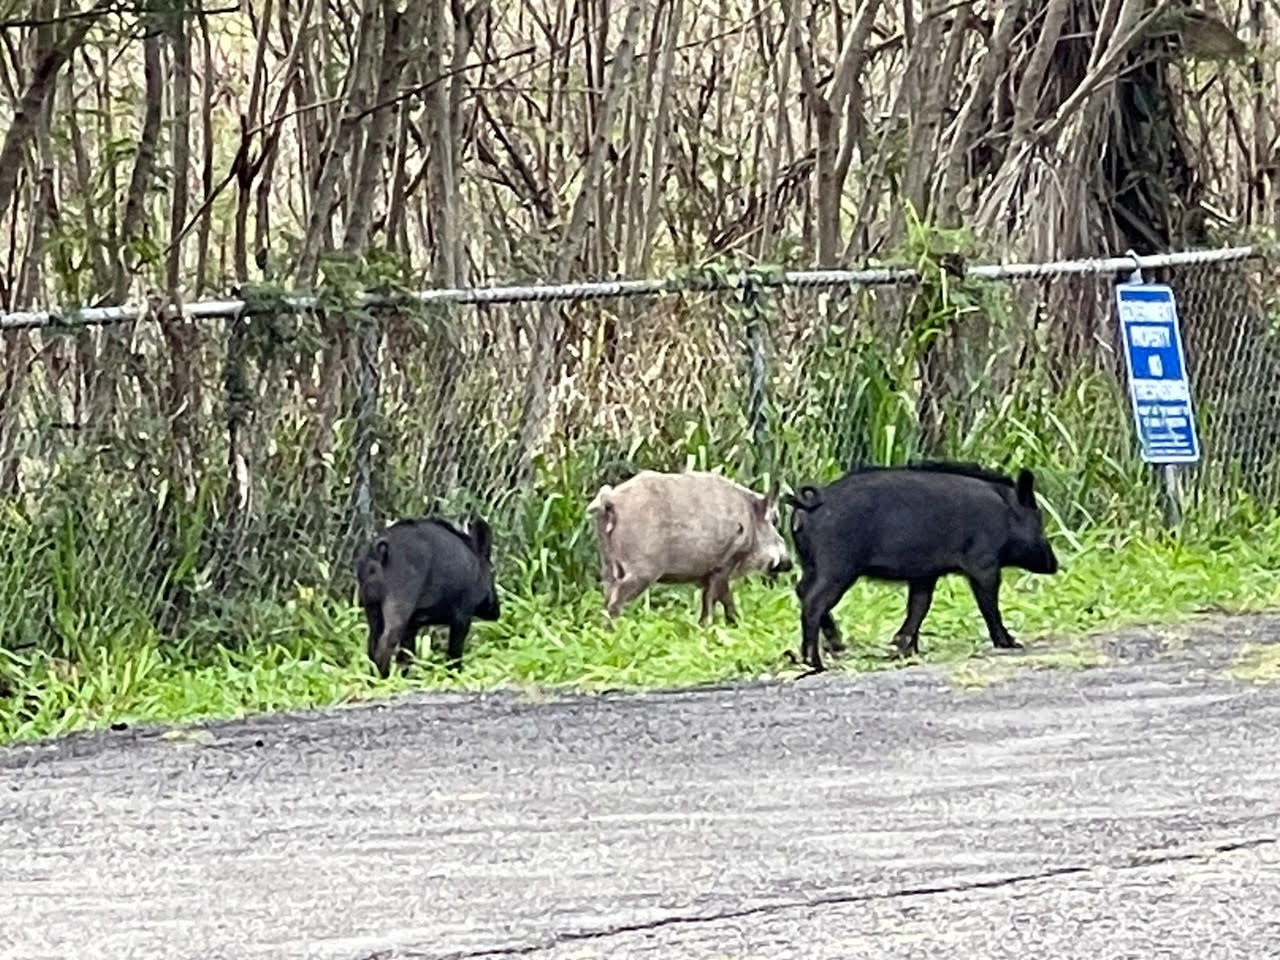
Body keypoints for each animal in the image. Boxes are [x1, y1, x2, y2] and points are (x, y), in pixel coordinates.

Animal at [354, 513, 501, 677]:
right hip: (398, 606)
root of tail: (379, 552)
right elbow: (454, 653)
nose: (496, 611)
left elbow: (406, 656)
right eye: (492, 571)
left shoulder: (412, 625)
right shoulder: (462, 614)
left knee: (372, 647)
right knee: (384, 648)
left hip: (371, 606)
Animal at [586, 469, 794, 625]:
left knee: (607, 599)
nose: (788, 563)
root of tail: (610, 500)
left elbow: (712, 600)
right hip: (642, 571)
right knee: (614, 604)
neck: (749, 523)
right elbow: (719, 599)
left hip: (608, 566)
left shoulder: (709, 574)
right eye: (774, 520)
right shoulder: (722, 565)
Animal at [786, 461, 1060, 672]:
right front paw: (1011, 644)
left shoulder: (925, 574)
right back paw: (815, 663)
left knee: (802, 591)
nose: (1055, 564)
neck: (1005, 514)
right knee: (814, 601)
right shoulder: (984, 563)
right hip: (837, 566)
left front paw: (904, 648)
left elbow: (919, 605)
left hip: (811, 564)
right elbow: (988, 605)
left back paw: (836, 647)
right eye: (1038, 520)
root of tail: (810, 504)